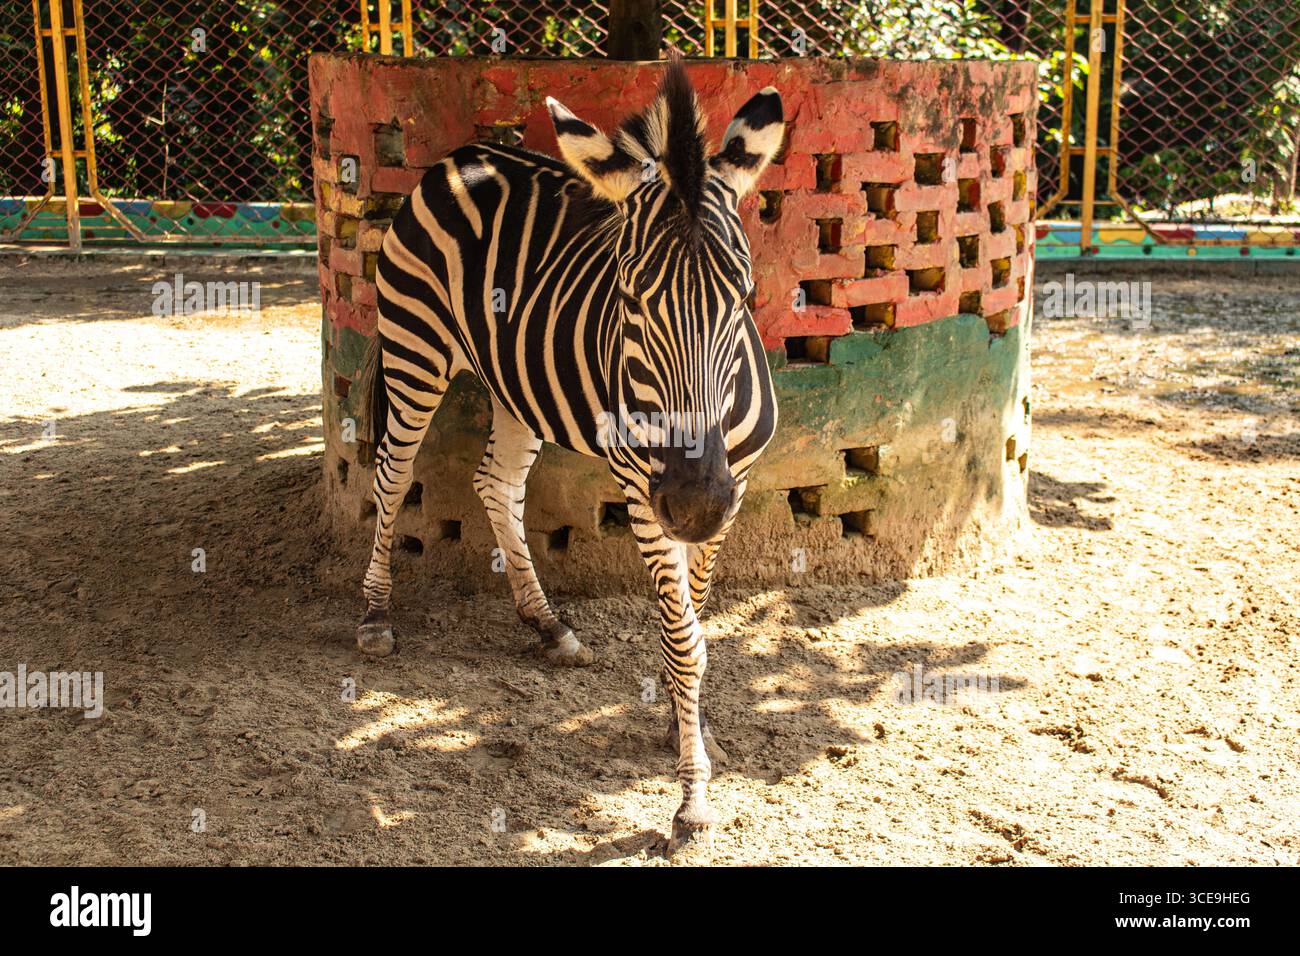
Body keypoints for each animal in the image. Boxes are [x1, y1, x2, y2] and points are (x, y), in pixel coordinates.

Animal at [355, 60, 783, 852]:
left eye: (743, 295)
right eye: (631, 299)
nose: (693, 501)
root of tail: (466, 154)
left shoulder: (732, 488)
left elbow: (698, 621)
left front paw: (687, 727)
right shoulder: (644, 490)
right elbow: (684, 639)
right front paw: (691, 799)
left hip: (515, 381)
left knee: (495, 481)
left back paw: (548, 623)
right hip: (414, 346)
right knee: (393, 478)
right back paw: (374, 615)